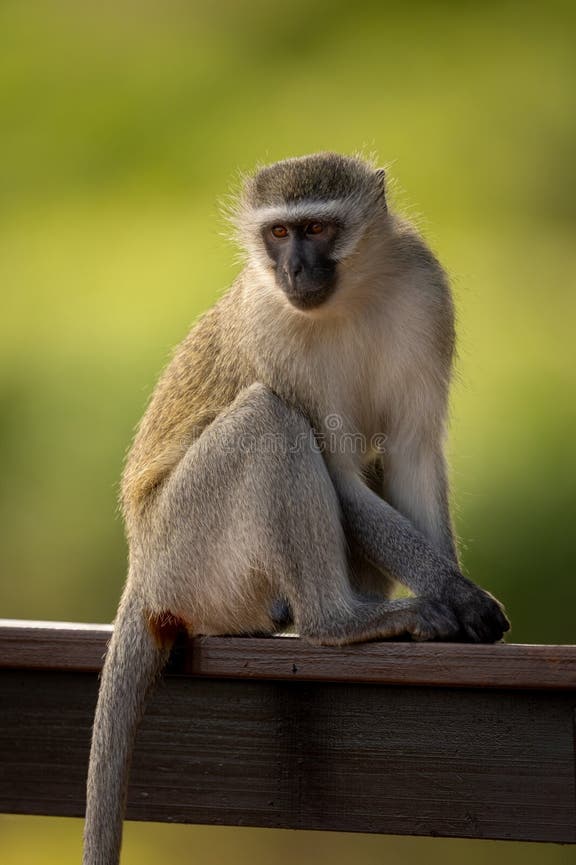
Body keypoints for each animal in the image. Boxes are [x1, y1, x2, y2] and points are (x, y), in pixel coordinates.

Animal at [83, 152, 509, 864]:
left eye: (316, 228)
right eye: (279, 234)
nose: (295, 271)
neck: (354, 293)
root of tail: (142, 574)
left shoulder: (425, 290)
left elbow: (412, 454)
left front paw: (458, 597)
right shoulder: (272, 327)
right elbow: (335, 472)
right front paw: (458, 597)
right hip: (187, 550)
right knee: (270, 419)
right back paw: (337, 622)